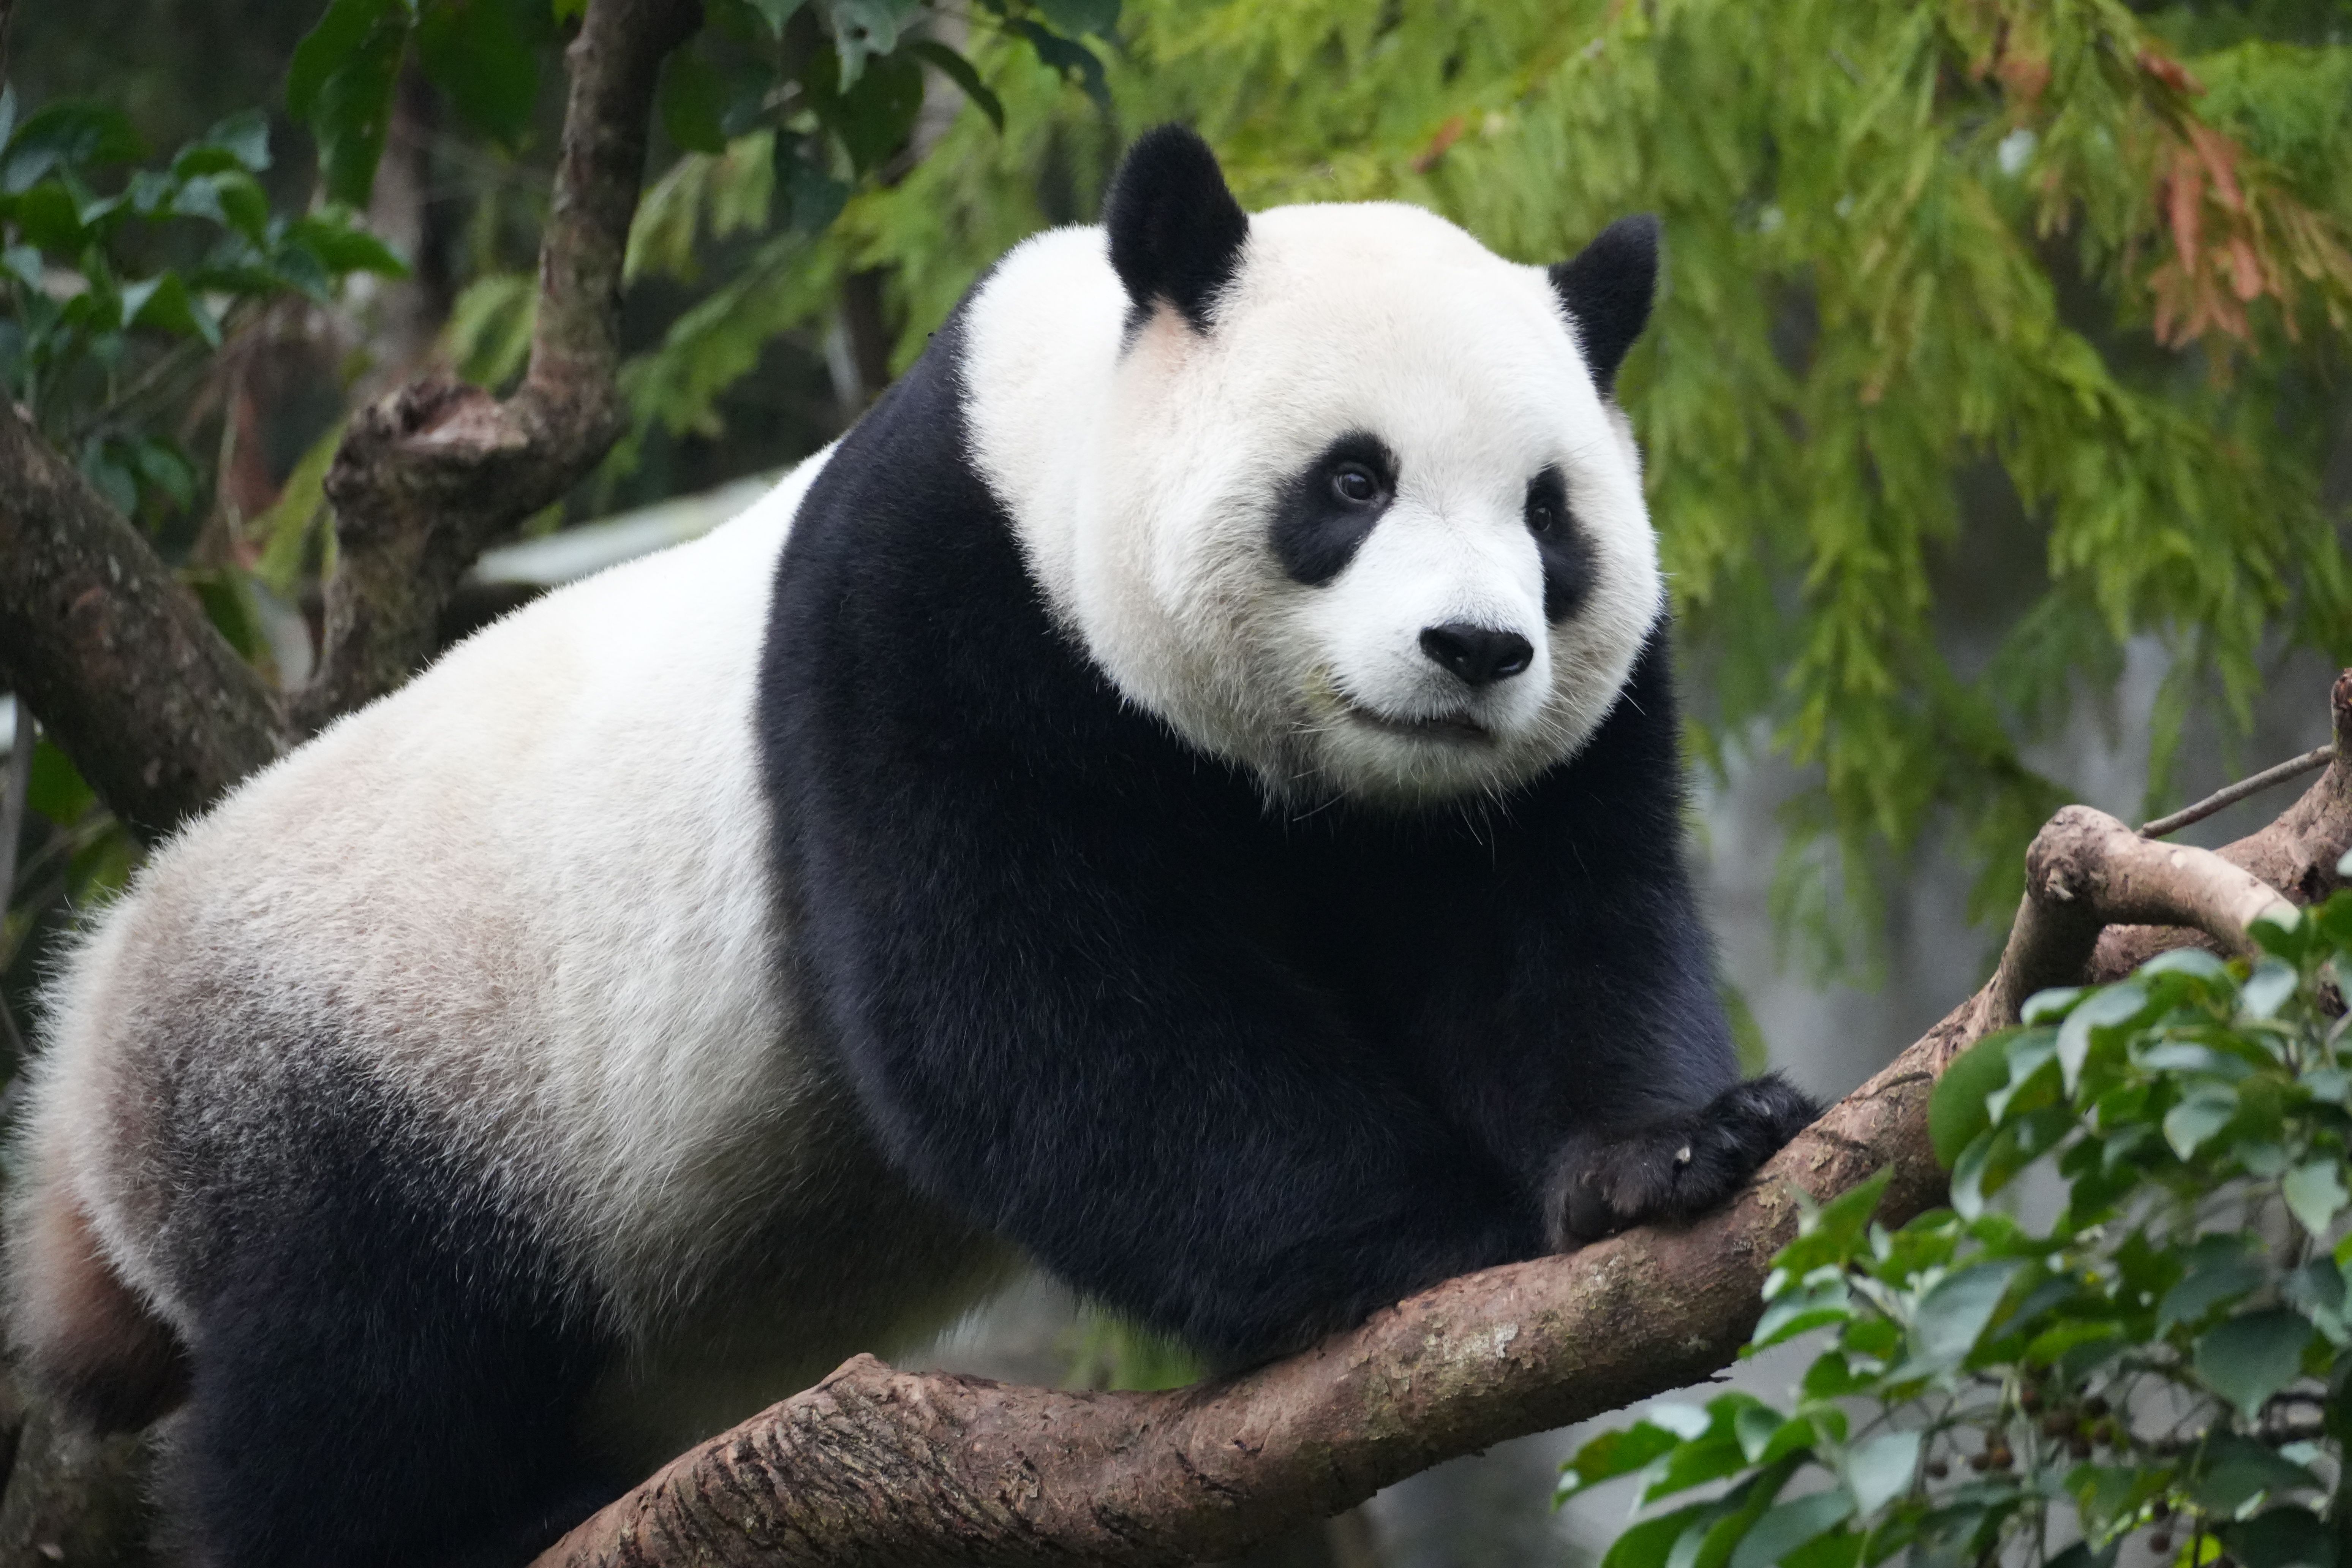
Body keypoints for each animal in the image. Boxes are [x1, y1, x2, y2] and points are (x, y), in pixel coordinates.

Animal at [7, 126, 1816, 1568]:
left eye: (1548, 513)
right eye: (1351, 481)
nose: (1472, 651)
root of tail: (82, 1067)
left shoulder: (1525, 762)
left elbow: (1553, 931)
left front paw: (1664, 1154)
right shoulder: (937, 611)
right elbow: (1035, 1004)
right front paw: (1440, 1241)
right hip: (345, 1068)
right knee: (357, 1361)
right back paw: (455, 1520)